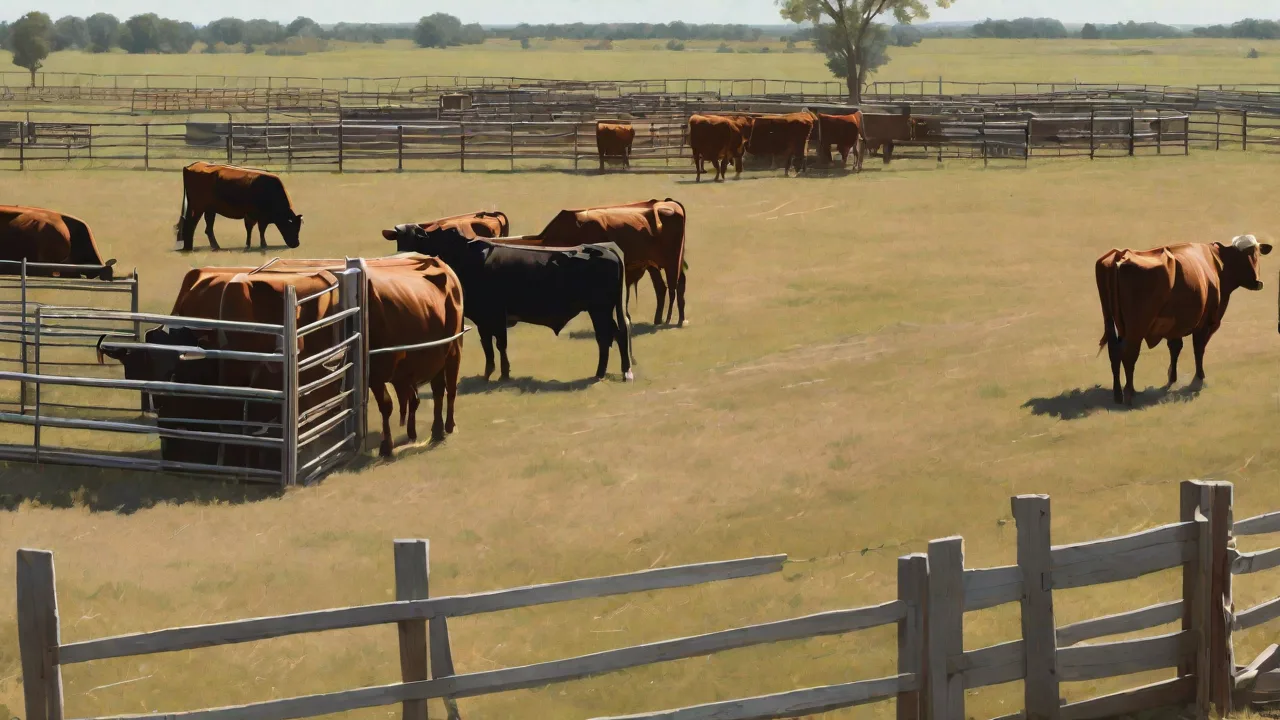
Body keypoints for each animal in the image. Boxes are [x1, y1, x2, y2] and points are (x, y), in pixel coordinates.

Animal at [175, 162, 304, 252]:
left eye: (299, 228)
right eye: (291, 227)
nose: (296, 244)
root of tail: (191, 166)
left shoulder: (262, 217)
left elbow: (260, 230)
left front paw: (261, 244)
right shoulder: (251, 215)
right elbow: (252, 229)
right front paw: (250, 245)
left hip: (209, 209)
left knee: (208, 228)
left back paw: (215, 246)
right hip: (197, 208)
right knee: (191, 224)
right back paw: (189, 248)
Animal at [386, 226, 633, 383]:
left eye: (440, 236)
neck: (470, 259)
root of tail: (604, 249)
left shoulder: (494, 315)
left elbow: (499, 344)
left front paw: (502, 374)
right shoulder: (485, 319)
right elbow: (489, 346)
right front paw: (491, 373)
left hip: (599, 309)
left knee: (610, 335)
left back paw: (614, 372)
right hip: (601, 309)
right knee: (612, 335)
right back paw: (610, 371)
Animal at [527, 199, 688, 327]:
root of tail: (669, 202)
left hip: (672, 261)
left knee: (674, 287)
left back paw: (669, 320)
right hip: (654, 264)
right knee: (664, 287)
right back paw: (666, 320)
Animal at [1096, 234, 1272, 406]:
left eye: (1256, 253)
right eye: (1241, 256)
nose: (1257, 283)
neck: (1216, 263)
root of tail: (1121, 255)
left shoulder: (1176, 325)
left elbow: (1175, 348)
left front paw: (1172, 377)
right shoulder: (1206, 323)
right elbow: (1198, 348)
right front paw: (1199, 378)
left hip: (1111, 321)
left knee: (1114, 352)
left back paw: (1118, 393)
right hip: (1136, 328)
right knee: (1129, 355)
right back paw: (1129, 393)